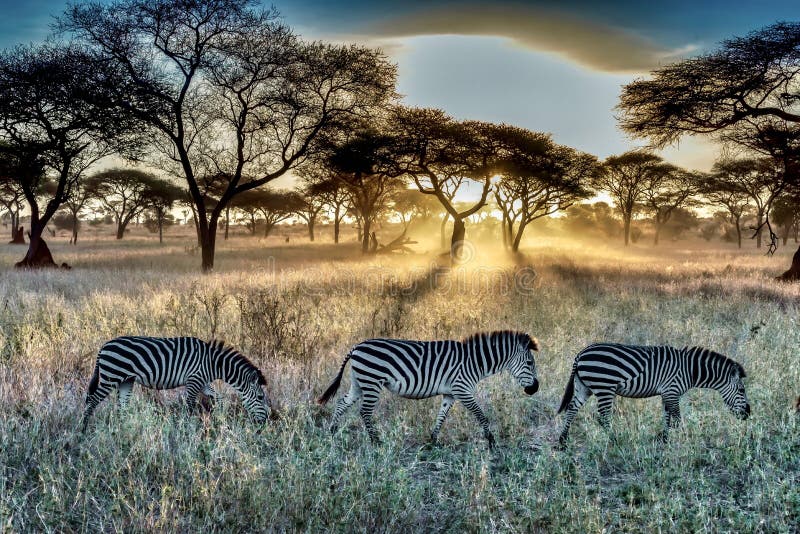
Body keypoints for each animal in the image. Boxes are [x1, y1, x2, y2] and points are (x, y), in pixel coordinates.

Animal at [81, 336, 271, 431]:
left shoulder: (203, 382)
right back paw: (83, 429)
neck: (212, 363)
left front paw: (222, 418)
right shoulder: (194, 380)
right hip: (111, 376)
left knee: (122, 406)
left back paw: (125, 428)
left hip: (126, 380)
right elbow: (189, 407)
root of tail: (104, 346)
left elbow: (219, 398)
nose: (265, 422)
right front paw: (188, 429)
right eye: (261, 397)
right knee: (92, 401)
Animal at [317, 330, 540, 447]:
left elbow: (442, 416)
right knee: (364, 411)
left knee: (342, 403)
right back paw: (376, 441)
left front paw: (433, 439)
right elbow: (481, 415)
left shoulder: (450, 393)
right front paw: (491, 441)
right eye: (530, 363)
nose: (535, 389)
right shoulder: (462, 389)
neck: (474, 362)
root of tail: (356, 347)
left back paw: (332, 432)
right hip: (371, 382)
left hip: (359, 382)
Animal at [556, 343, 750, 445]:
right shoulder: (672, 391)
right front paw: (682, 440)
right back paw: (615, 440)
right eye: (742, 390)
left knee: (572, 409)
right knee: (603, 417)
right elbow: (676, 419)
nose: (748, 414)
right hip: (604, 387)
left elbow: (667, 417)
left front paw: (664, 439)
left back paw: (563, 441)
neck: (690, 370)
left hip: (584, 387)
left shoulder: (667, 394)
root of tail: (581, 354)